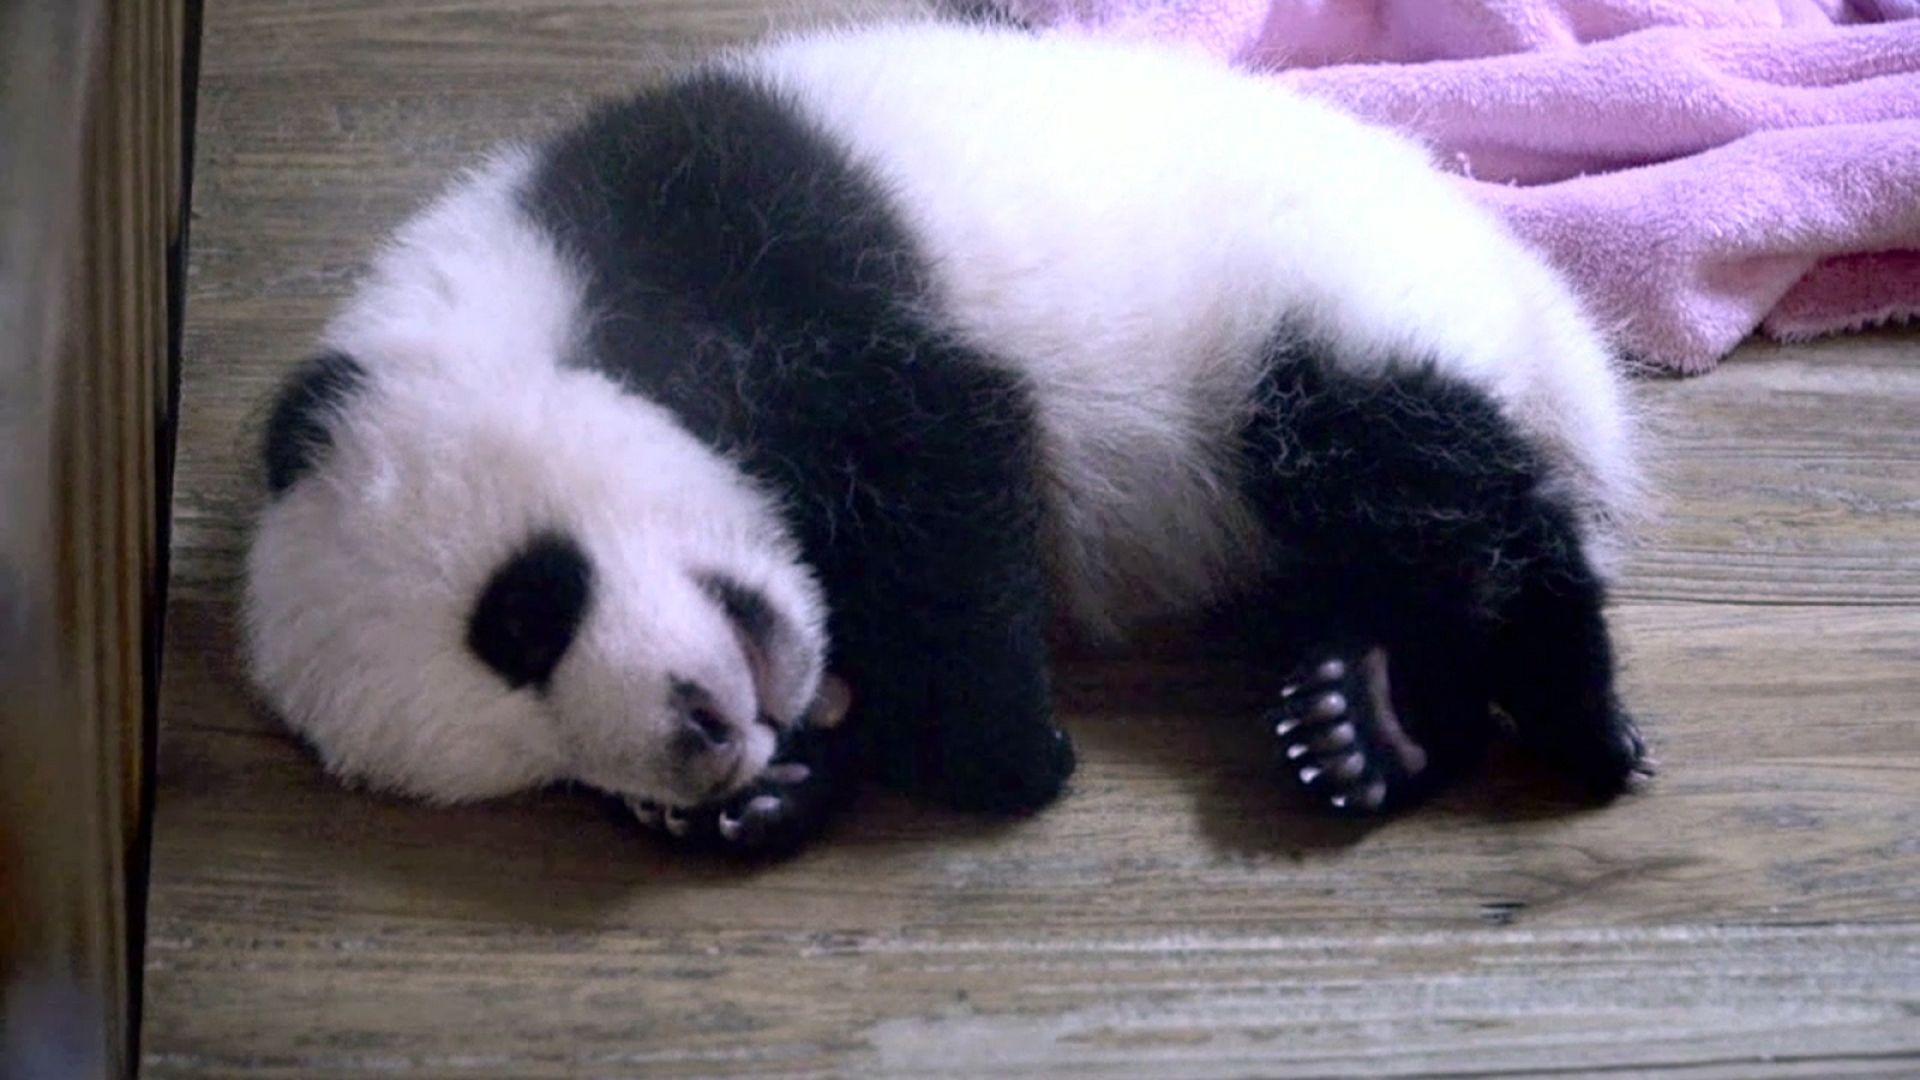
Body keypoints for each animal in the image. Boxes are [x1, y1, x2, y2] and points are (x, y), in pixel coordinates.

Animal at [245, 19, 1650, 852]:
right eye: (540, 763)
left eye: (524, 616)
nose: (700, 743)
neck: (520, 293)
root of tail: (1538, 299)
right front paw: (762, 798)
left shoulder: (749, 254)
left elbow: (948, 449)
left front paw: (1005, 751)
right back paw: (1370, 724)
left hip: (1336, 296)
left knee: (1413, 474)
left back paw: (1566, 710)